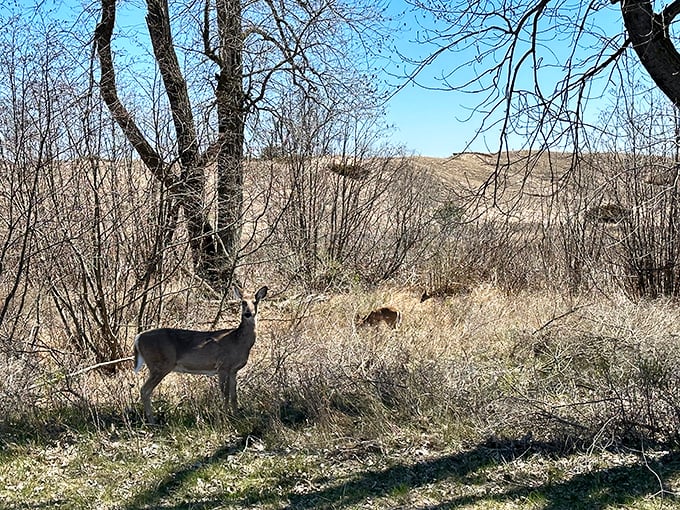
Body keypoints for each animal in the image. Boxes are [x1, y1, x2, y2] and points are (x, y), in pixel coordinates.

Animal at [133, 285, 268, 424]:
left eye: (255, 302)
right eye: (243, 302)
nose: (248, 314)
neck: (237, 341)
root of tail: (138, 337)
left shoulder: (233, 370)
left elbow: (234, 395)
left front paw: (236, 418)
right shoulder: (222, 366)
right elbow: (225, 394)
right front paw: (225, 419)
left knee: (145, 390)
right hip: (160, 364)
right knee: (145, 390)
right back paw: (152, 422)